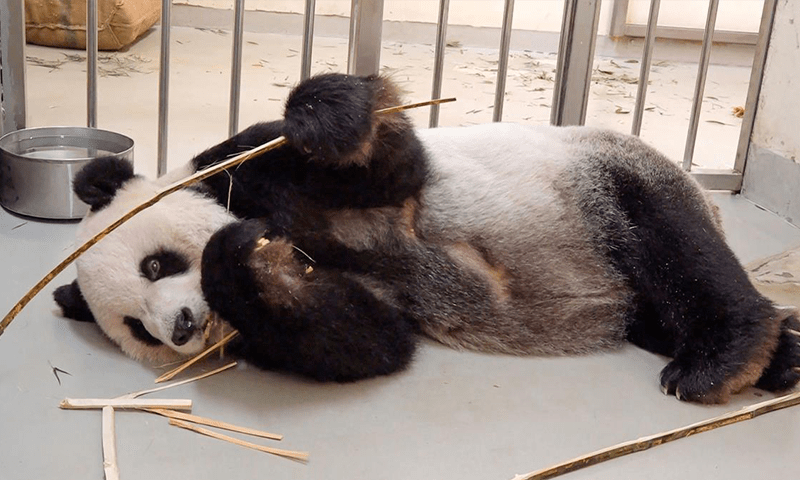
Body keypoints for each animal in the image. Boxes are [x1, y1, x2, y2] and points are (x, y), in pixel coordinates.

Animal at [54, 73, 800, 404]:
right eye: (139, 330)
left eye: (156, 264)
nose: (181, 326)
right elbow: (364, 338)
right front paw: (252, 266)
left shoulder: (250, 168)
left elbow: (389, 162)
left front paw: (323, 117)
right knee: (659, 302)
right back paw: (781, 358)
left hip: (605, 182)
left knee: (676, 249)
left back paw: (724, 356)